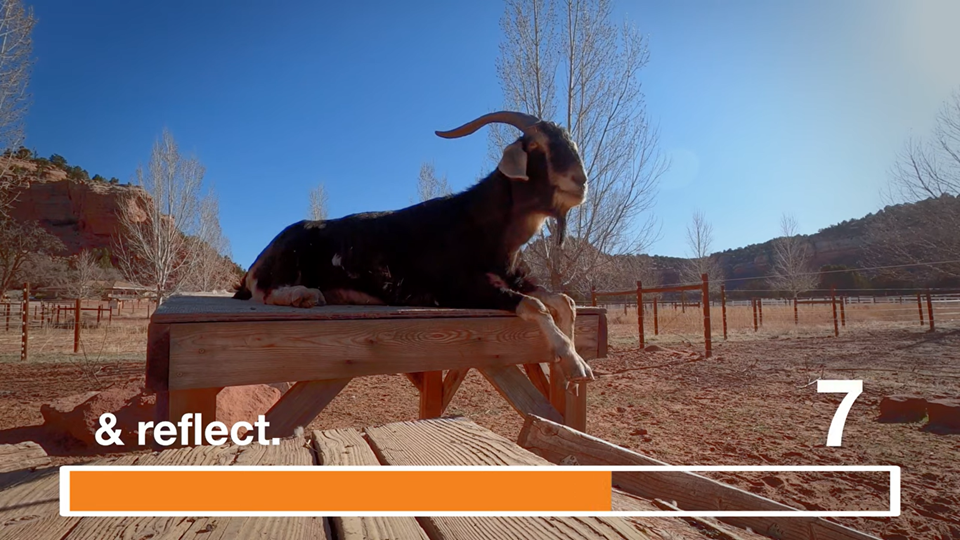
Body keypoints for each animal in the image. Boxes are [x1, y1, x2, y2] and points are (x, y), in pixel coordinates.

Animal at [234, 111, 595, 383]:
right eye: (535, 145)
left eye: (572, 144)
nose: (581, 183)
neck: (482, 223)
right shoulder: (460, 289)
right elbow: (536, 305)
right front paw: (573, 362)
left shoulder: (515, 277)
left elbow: (564, 300)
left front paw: (575, 353)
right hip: (285, 261)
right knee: (262, 290)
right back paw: (304, 295)